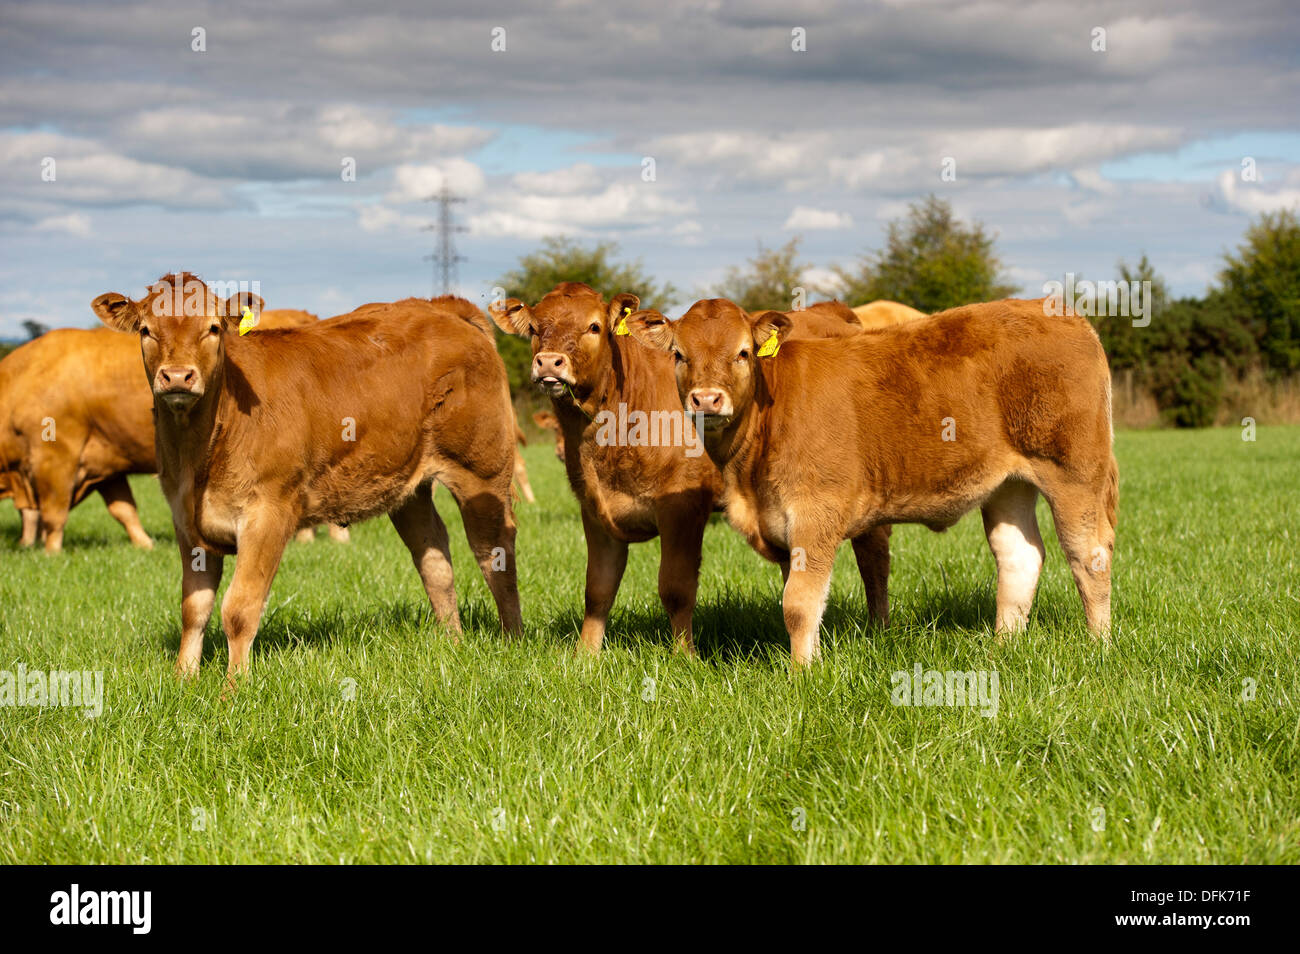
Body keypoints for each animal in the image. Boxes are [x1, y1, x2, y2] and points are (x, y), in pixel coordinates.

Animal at [0, 328, 156, 552]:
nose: (24, 545)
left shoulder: (54, 458)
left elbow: (53, 514)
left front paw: (51, 552)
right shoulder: (107, 465)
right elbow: (124, 510)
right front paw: (145, 545)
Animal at [92, 273, 522, 683]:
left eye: (213, 328)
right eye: (145, 330)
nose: (178, 376)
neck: (200, 453)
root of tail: (442, 306)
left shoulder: (269, 513)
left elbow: (240, 608)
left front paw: (234, 688)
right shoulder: (186, 521)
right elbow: (193, 609)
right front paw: (184, 680)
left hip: (482, 472)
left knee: (494, 551)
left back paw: (512, 638)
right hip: (408, 487)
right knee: (433, 555)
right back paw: (453, 641)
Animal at [489, 282, 891, 656]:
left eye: (594, 326)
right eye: (535, 328)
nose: (549, 362)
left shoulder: (681, 507)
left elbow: (676, 588)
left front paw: (685, 655)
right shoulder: (595, 508)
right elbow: (598, 589)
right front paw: (585, 657)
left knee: (873, 559)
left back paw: (878, 629)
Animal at [626, 297, 1118, 665]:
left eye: (743, 352)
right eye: (679, 354)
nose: (707, 399)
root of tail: (1055, 310)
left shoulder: (816, 511)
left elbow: (798, 603)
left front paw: (803, 674)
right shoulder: (780, 522)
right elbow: (799, 598)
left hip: (1075, 473)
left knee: (1089, 555)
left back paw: (1099, 645)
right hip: (1009, 484)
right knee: (1019, 555)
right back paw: (1004, 645)